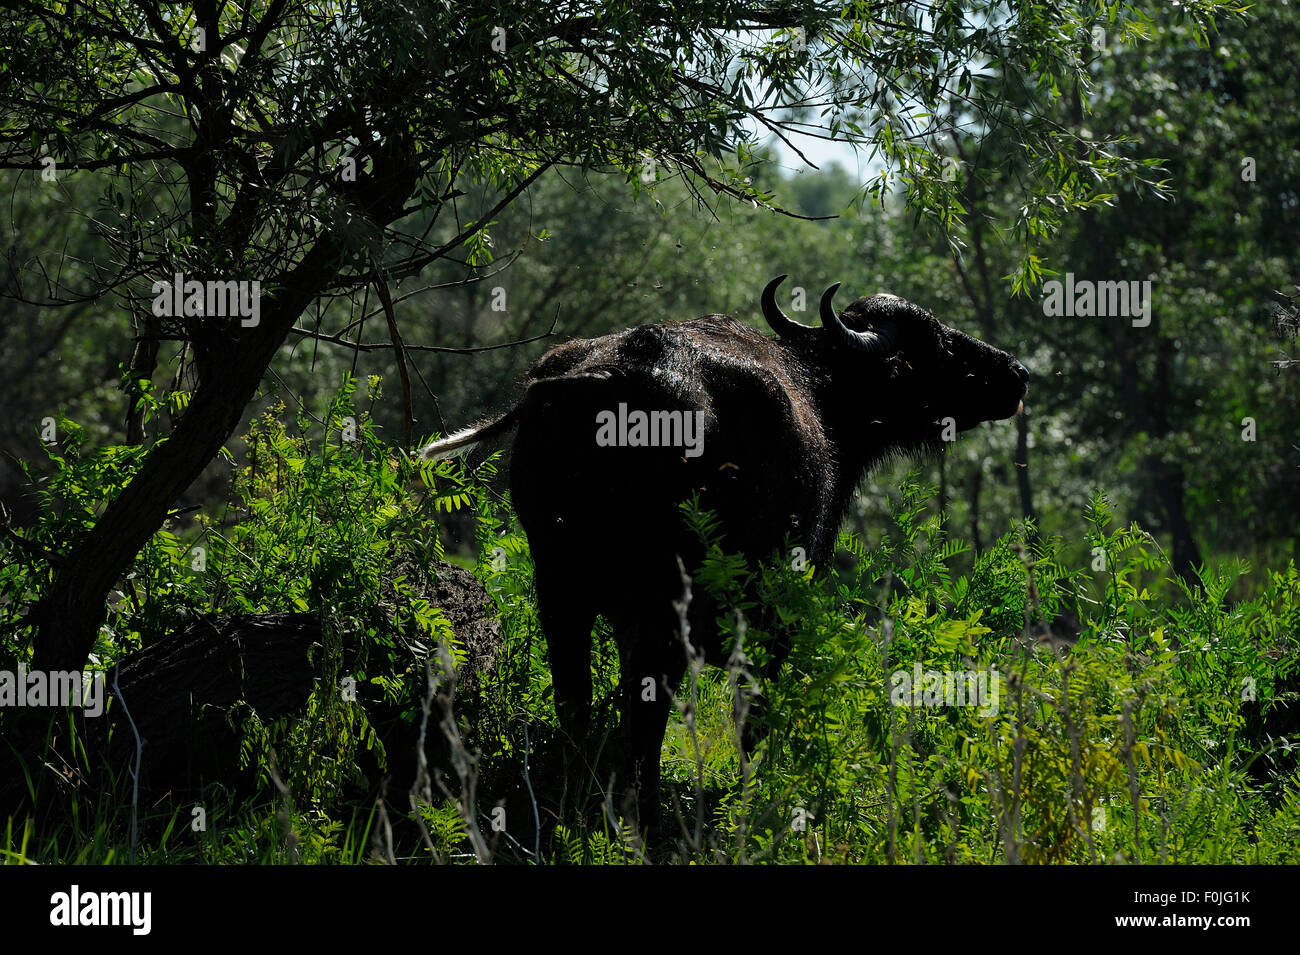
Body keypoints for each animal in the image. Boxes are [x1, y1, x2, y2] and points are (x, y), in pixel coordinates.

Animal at [420, 276, 1028, 826]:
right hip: (663, 603)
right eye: (935, 342)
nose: (1016, 372)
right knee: (646, 715)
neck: (820, 396)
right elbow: (749, 720)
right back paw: (648, 812)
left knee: (575, 698)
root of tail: (604, 376)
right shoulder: (776, 617)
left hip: (559, 587)